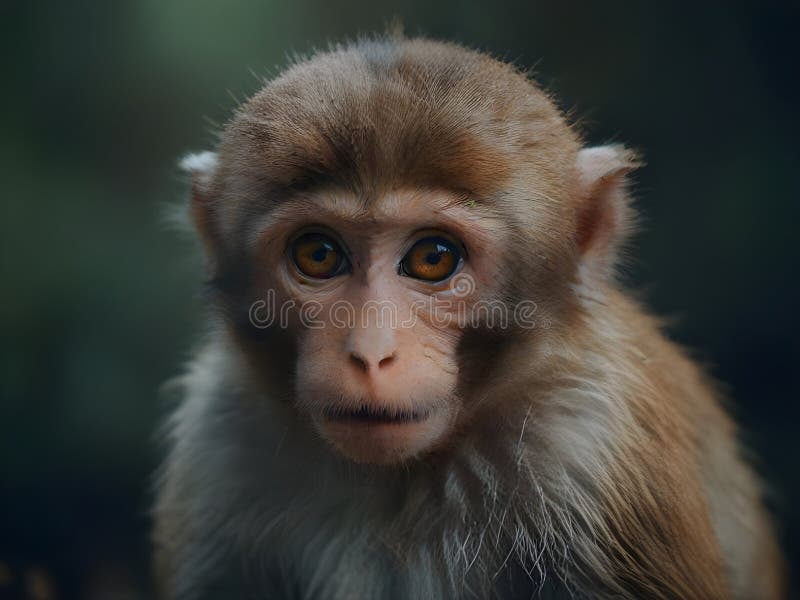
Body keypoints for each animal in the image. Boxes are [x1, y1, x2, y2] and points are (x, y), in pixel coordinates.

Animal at [153, 34, 785, 599]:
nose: (371, 352)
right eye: (319, 254)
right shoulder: (218, 437)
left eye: (433, 257)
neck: (402, 483)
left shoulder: (596, 447)